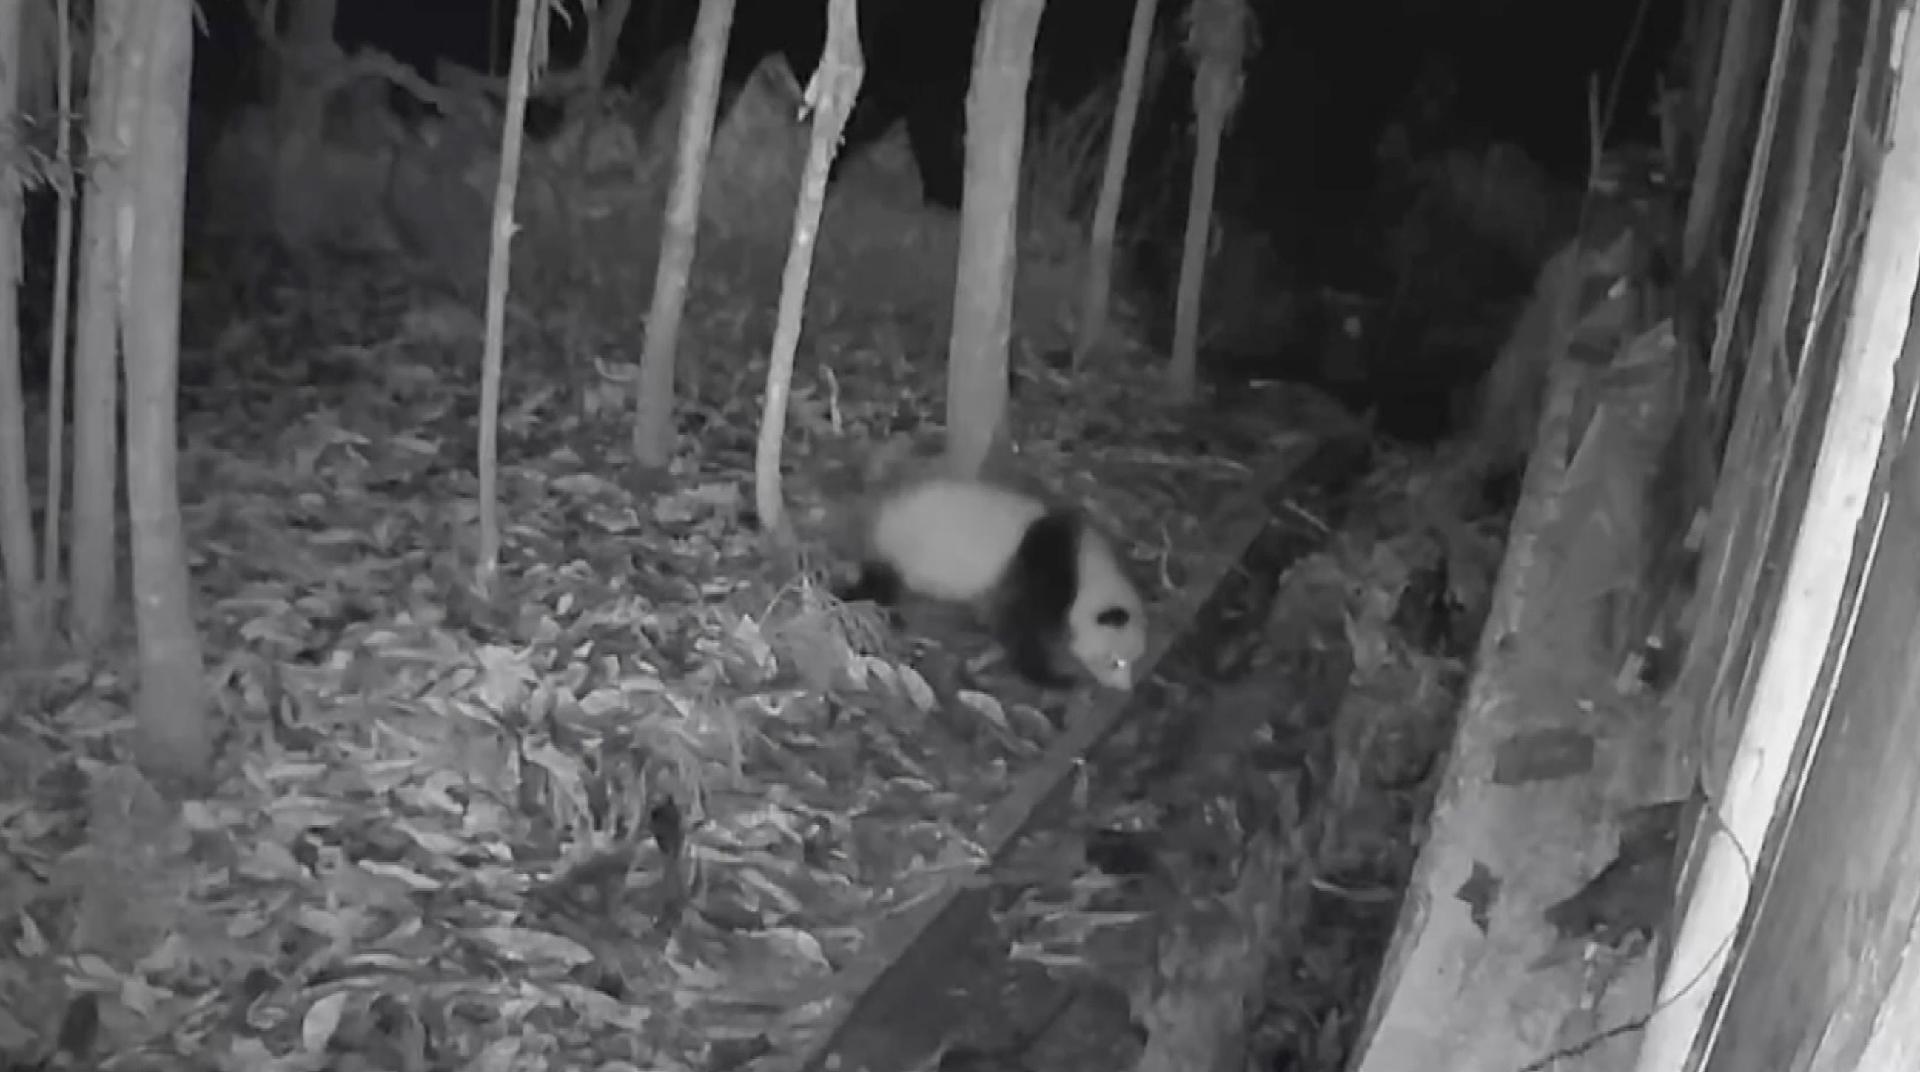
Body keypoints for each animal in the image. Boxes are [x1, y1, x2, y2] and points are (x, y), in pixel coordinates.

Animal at [834, 475, 1149, 690]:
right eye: (1117, 661)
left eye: (1133, 661)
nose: (1124, 689)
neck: (1084, 574)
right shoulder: (1039, 571)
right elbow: (1019, 630)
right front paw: (1054, 678)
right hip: (909, 552)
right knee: (882, 585)